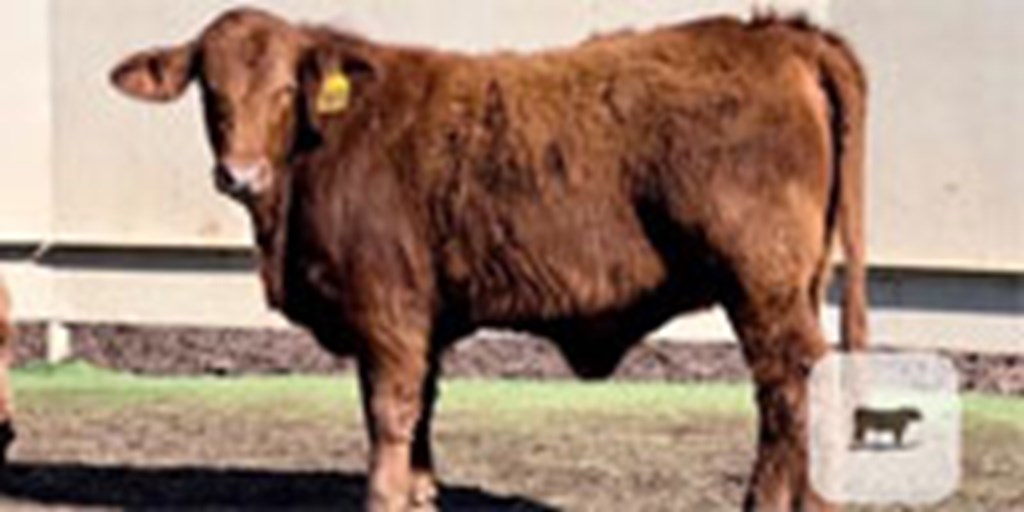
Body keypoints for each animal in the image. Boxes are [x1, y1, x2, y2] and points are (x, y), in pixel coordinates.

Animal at [111, 8, 868, 511]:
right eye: (210, 90)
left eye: (285, 90)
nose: (239, 175)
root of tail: (776, 33)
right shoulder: (424, 319)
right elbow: (421, 409)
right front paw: (420, 492)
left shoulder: (387, 310)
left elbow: (388, 411)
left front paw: (385, 497)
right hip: (796, 285)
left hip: (762, 288)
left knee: (791, 389)